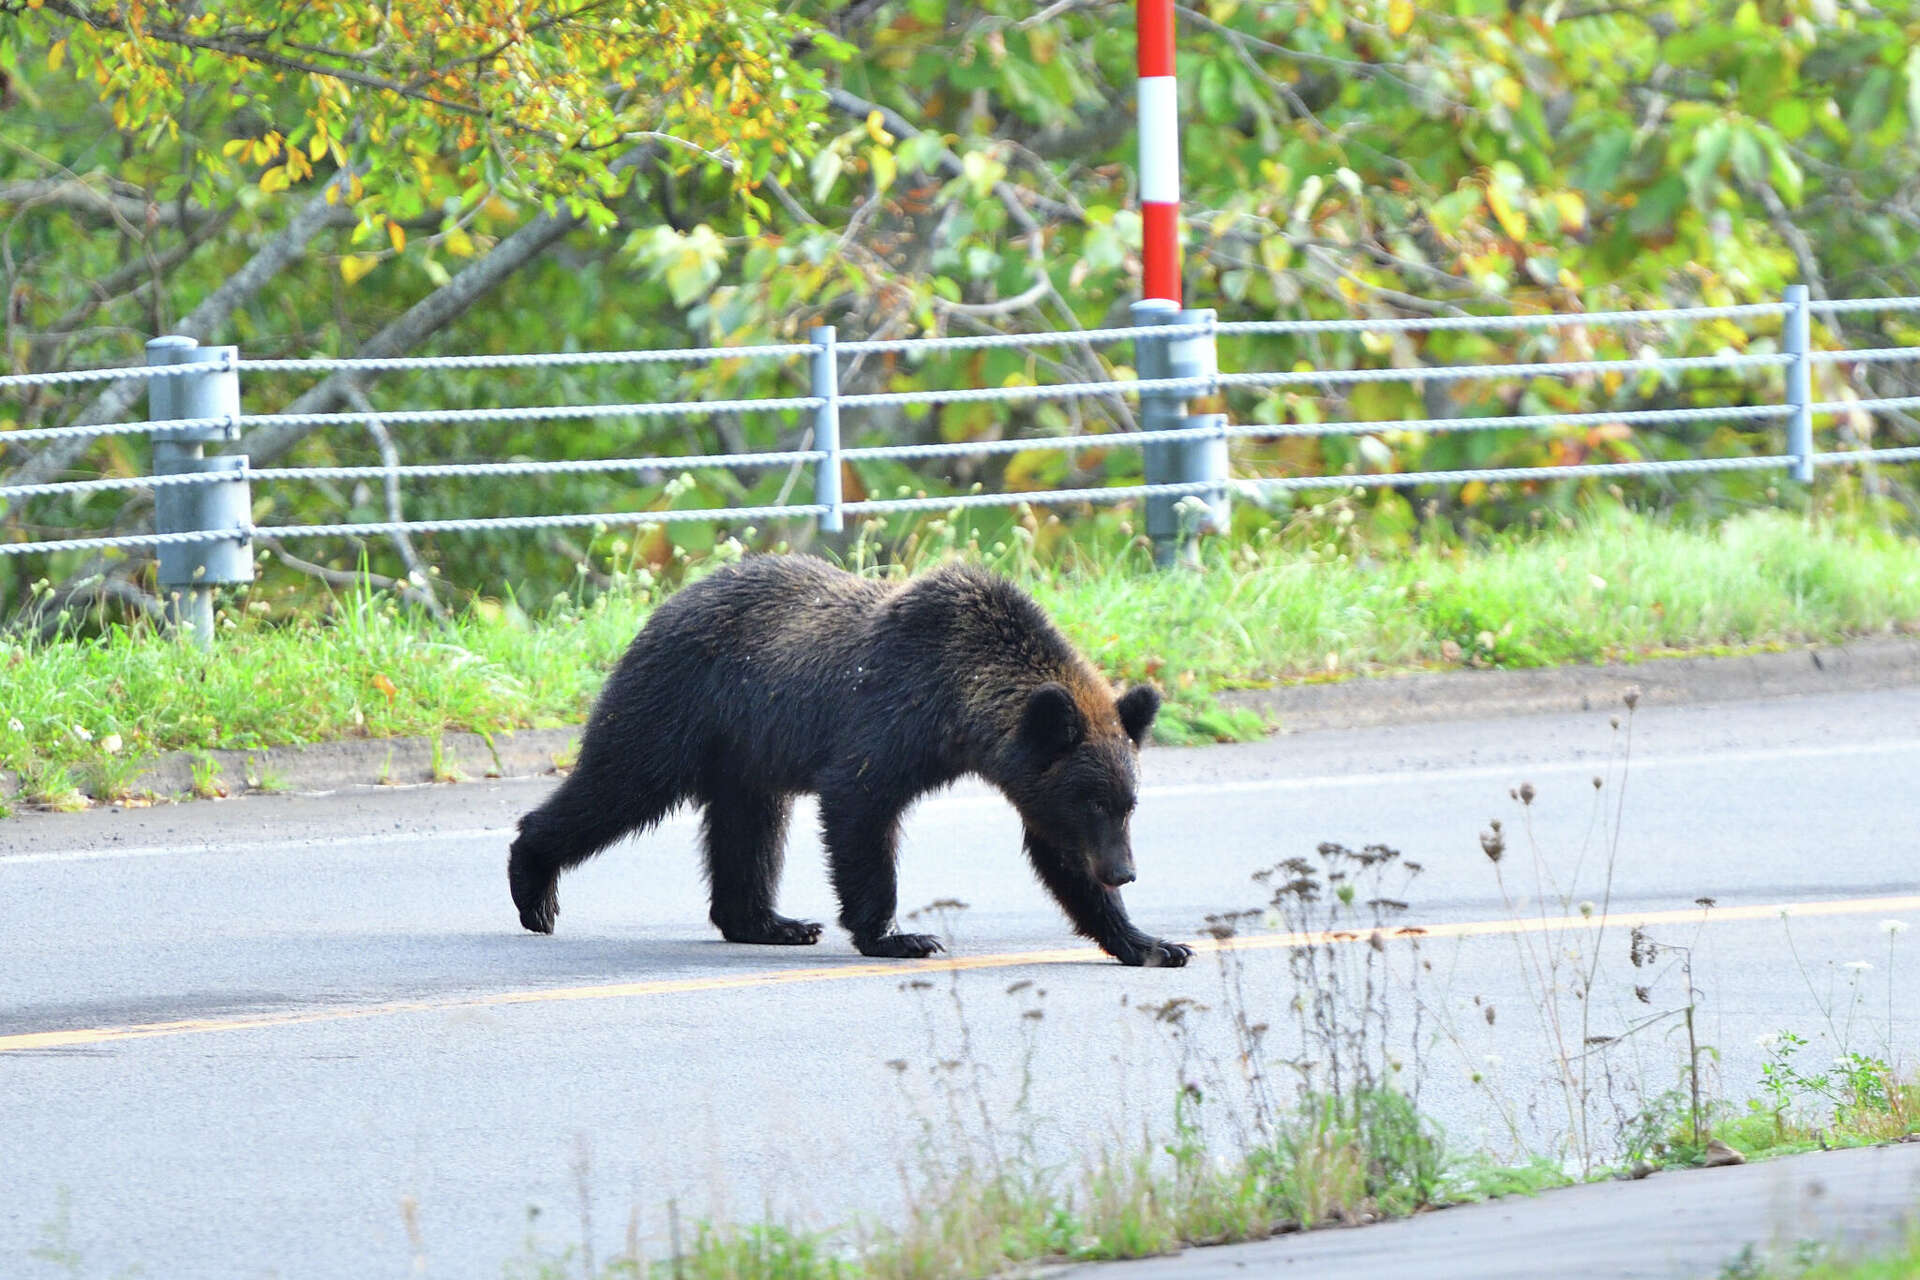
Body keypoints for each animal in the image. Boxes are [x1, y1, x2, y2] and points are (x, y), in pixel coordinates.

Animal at [507, 555, 1192, 967]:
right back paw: (533, 885)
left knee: (750, 829)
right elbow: (860, 809)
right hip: (680, 707)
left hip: (746, 753)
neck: (960, 708)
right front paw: (899, 935)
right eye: (1095, 800)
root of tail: (668, 603)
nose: (1124, 872)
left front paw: (1151, 942)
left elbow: (1056, 856)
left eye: (1128, 804)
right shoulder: (891, 716)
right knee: (620, 783)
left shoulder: (1028, 777)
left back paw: (770, 921)